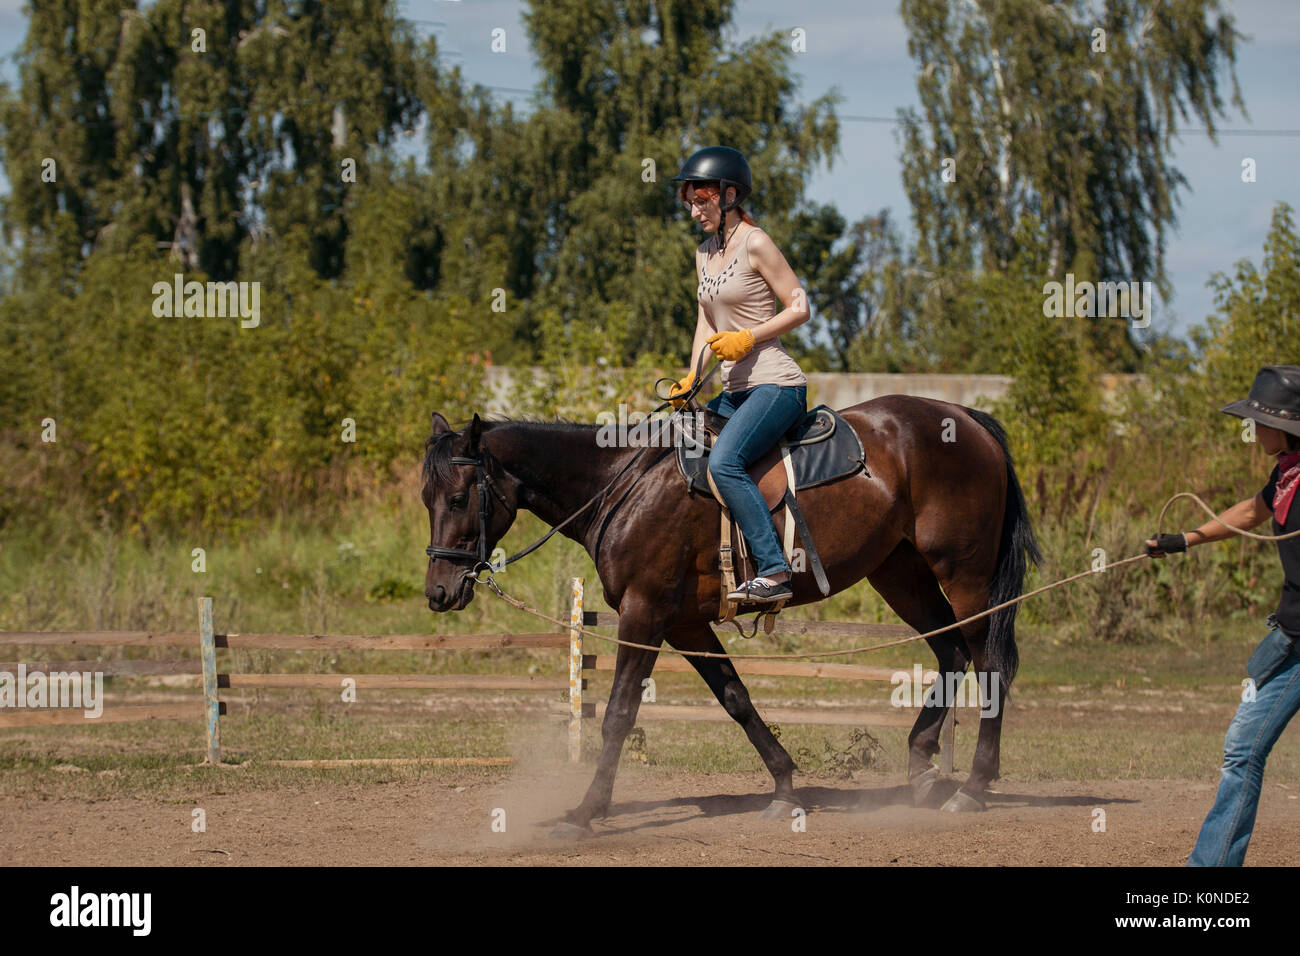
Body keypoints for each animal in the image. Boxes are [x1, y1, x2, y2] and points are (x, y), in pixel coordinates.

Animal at [421, 396, 1041, 837]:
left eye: (458, 499)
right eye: (428, 499)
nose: (439, 592)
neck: (624, 485)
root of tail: (966, 419)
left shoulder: (645, 616)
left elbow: (618, 714)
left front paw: (587, 810)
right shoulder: (687, 625)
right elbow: (736, 700)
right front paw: (785, 788)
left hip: (963, 575)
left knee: (988, 663)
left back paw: (974, 786)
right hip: (900, 574)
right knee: (952, 652)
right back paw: (920, 764)